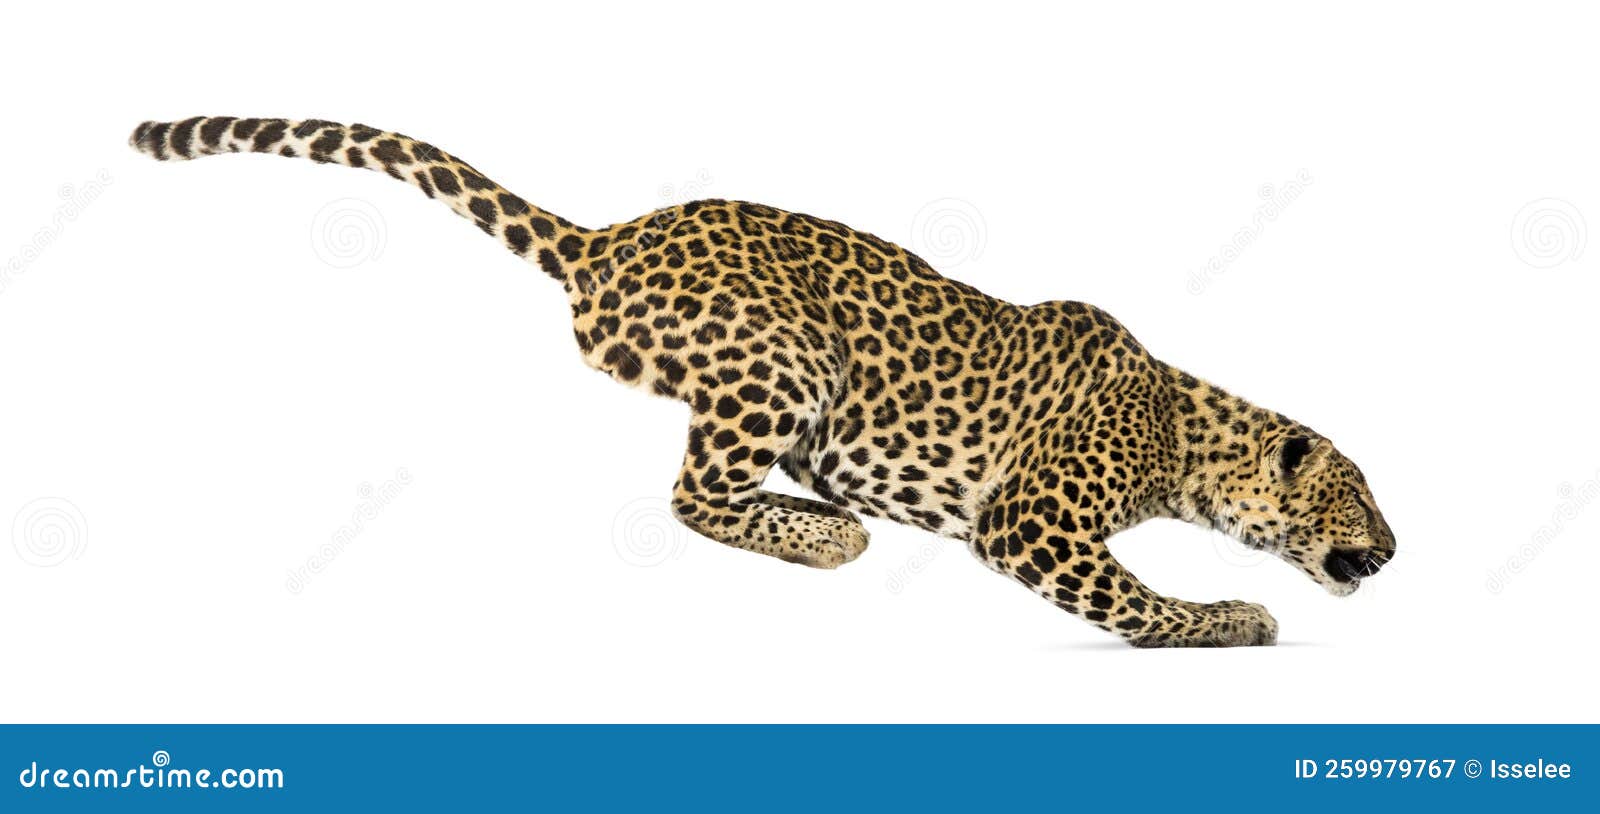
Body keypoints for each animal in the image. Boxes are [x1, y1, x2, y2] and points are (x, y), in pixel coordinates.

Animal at [129, 116, 1396, 647]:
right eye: (1357, 495)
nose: (1389, 553)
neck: (1189, 436)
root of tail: (611, 238)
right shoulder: (1029, 520)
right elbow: (1135, 597)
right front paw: (1230, 619)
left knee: (727, 485)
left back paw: (828, 521)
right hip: (788, 355)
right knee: (695, 494)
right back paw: (832, 537)